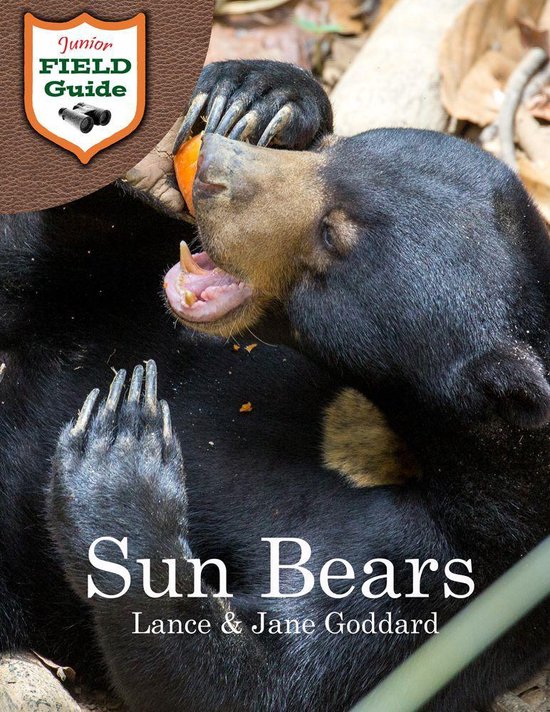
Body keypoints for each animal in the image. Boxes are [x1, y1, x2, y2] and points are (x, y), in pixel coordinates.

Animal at [49, 62, 550, 712]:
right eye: (334, 154)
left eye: (333, 235)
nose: (210, 168)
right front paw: (256, 98)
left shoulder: (453, 577)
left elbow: (258, 680)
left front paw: (122, 454)